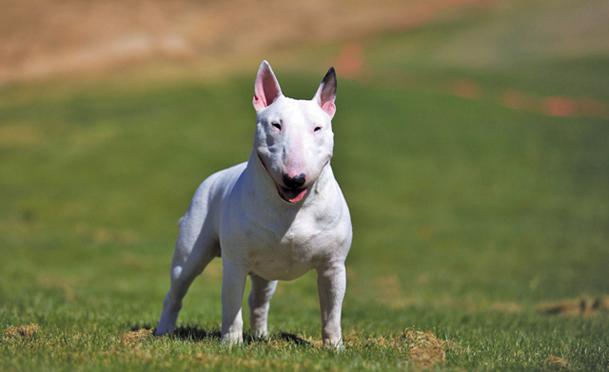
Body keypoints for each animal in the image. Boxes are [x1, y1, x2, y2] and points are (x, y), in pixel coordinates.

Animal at [154, 59, 352, 348]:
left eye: (318, 128)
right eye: (276, 125)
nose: (295, 179)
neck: (292, 208)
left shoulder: (333, 267)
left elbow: (332, 313)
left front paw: (335, 348)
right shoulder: (235, 264)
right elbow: (231, 308)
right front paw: (231, 344)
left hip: (266, 272)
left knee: (258, 299)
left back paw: (261, 335)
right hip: (191, 253)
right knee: (176, 290)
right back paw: (163, 330)